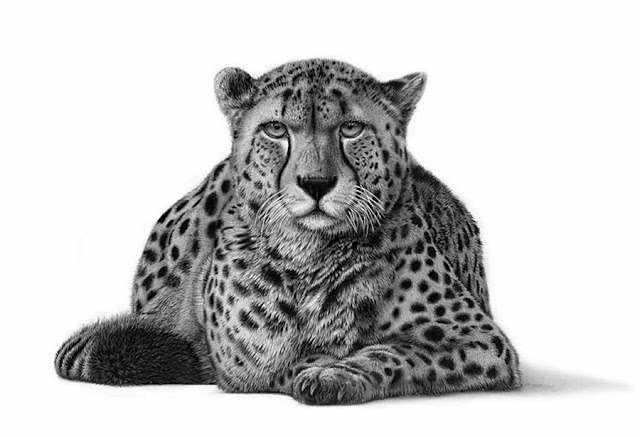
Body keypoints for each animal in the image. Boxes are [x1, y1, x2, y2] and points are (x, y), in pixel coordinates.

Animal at [55, 59, 520, 405]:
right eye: (276, 129)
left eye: (351, 128)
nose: (315, 184)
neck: (310, 254)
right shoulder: (242, 361)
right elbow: (279, 359)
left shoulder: (482, 339)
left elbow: (392, 350)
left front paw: (330, 375)